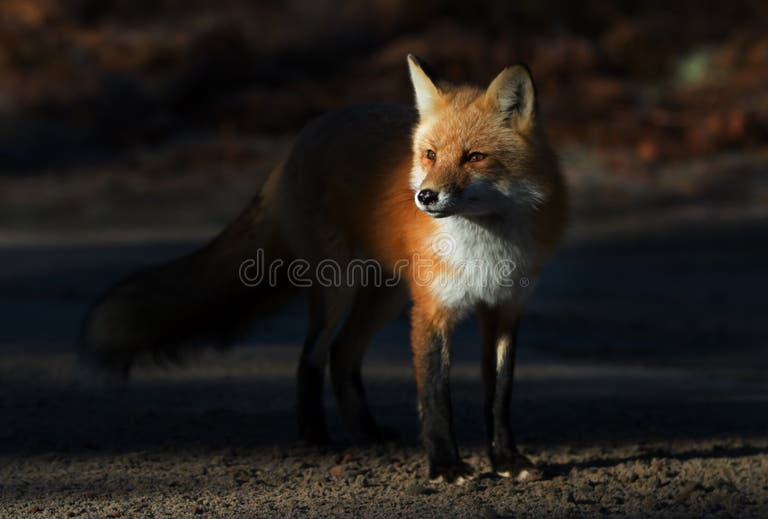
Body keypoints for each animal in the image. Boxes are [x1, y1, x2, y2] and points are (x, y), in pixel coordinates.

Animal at [81, 55, 567, 482]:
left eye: (474, 157)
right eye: (430, 154)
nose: (425, 197)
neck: (486, 247)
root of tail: (305, 136)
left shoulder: (505, 308)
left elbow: (498, 396)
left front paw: (506, 460)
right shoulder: (432, 310)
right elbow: (435, 398)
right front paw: (446, 466)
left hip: (386, 296)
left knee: (342, 353)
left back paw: (366, 431)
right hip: (339, 288)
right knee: (312, 355)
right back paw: (316, 434)